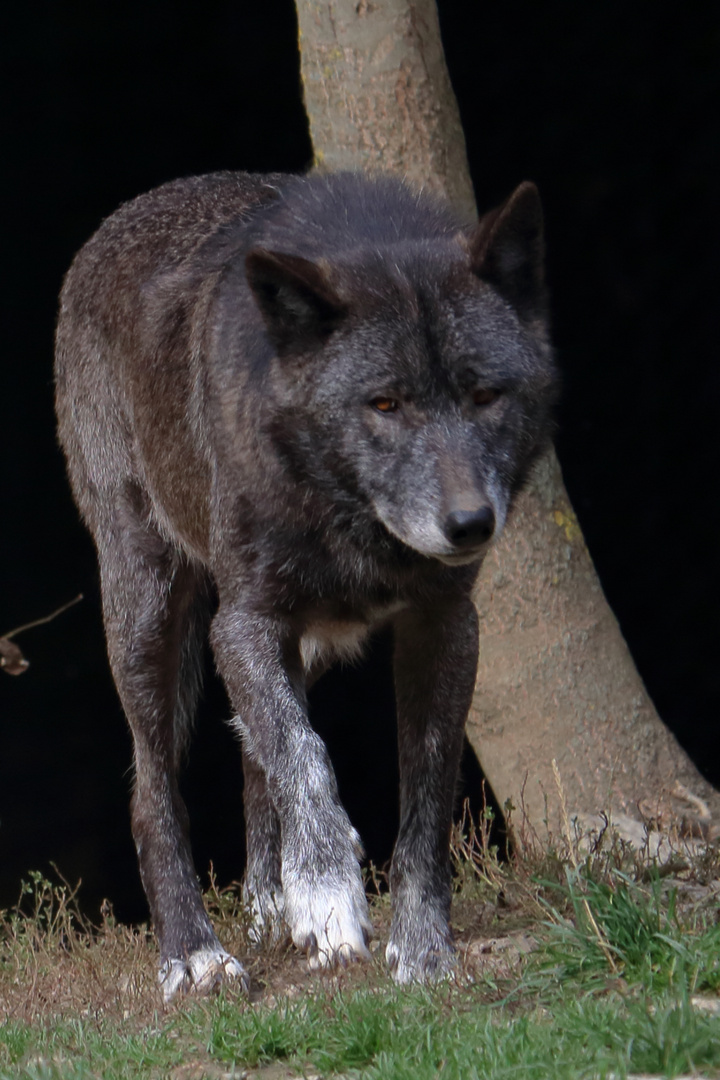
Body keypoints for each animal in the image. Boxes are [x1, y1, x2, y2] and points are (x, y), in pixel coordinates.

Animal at [54, 170, 556, 1000]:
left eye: (486, 396)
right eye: (384, 403)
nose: (470, 524)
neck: (346, 517)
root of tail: (115, 222)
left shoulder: (445, 623)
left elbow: (424, 796)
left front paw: (423, 951)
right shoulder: (245, 622)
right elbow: (305, 757)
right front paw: (326, 894)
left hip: (303, 646)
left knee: (252, 753)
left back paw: (267, 901)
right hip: (148, 614)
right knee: (153, 793)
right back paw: (196, 953)